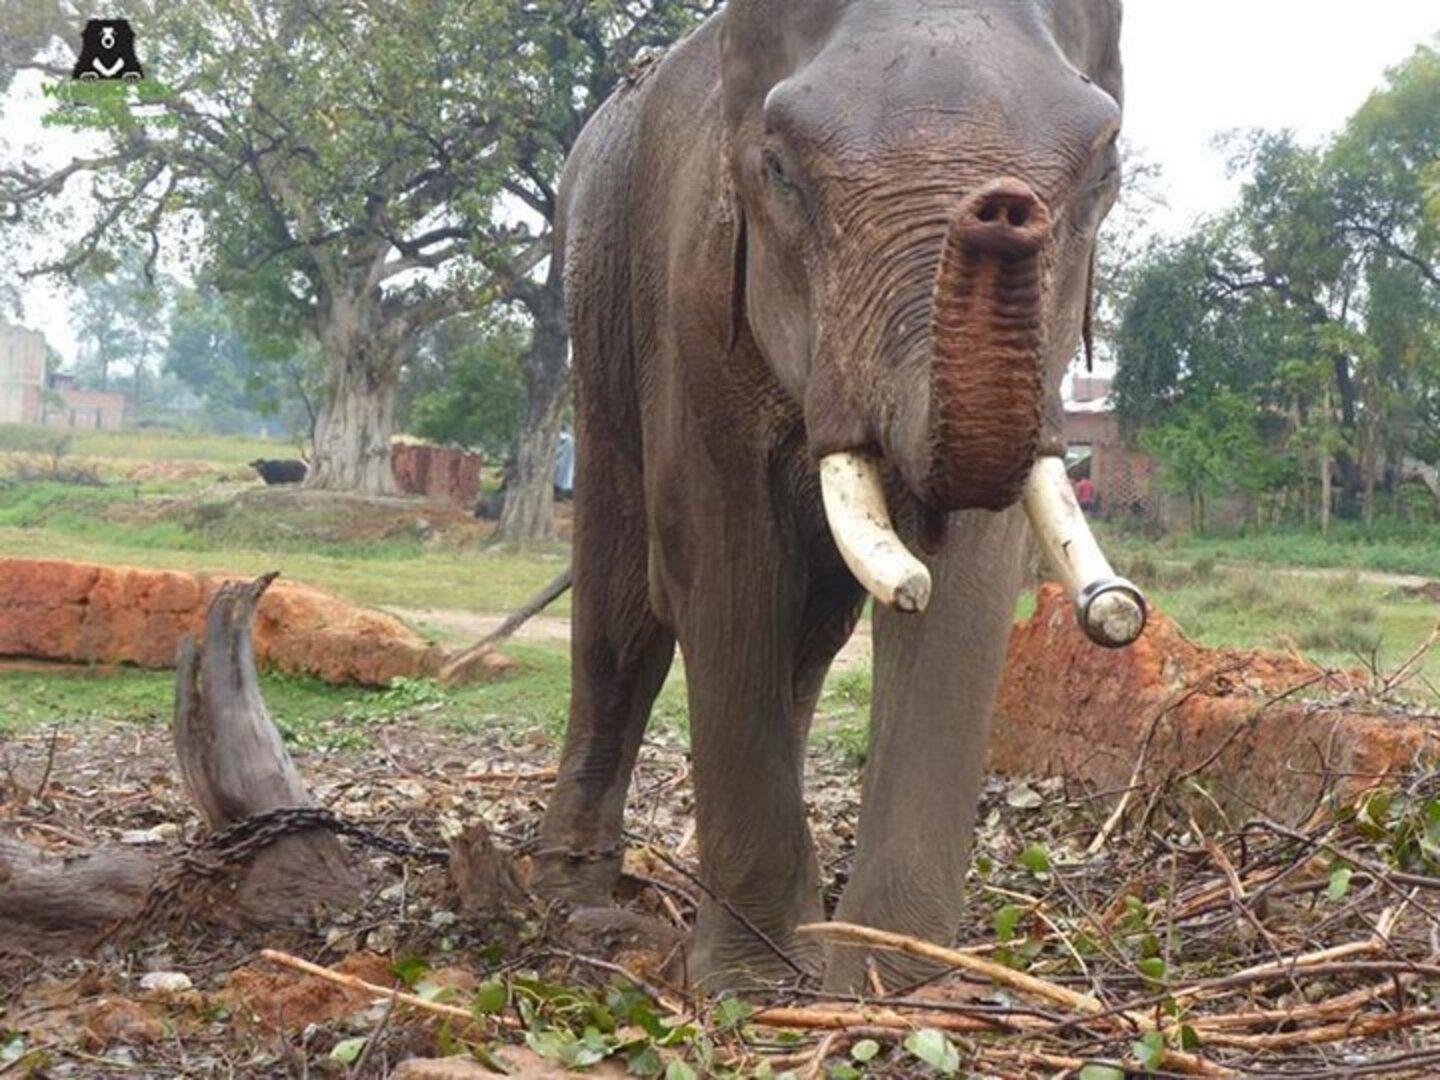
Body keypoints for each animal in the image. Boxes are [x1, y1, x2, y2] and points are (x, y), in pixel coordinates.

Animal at [534, 0, 1137, 992]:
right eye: (780, 168)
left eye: (1106, 166)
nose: (1004, 210)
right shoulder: (691, 307)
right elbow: (720, 570)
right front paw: (758, 984)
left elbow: (963, 588)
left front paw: (893, 986)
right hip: (600, 320)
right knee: (623, 617)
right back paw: (571, 893)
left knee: (810, 636)